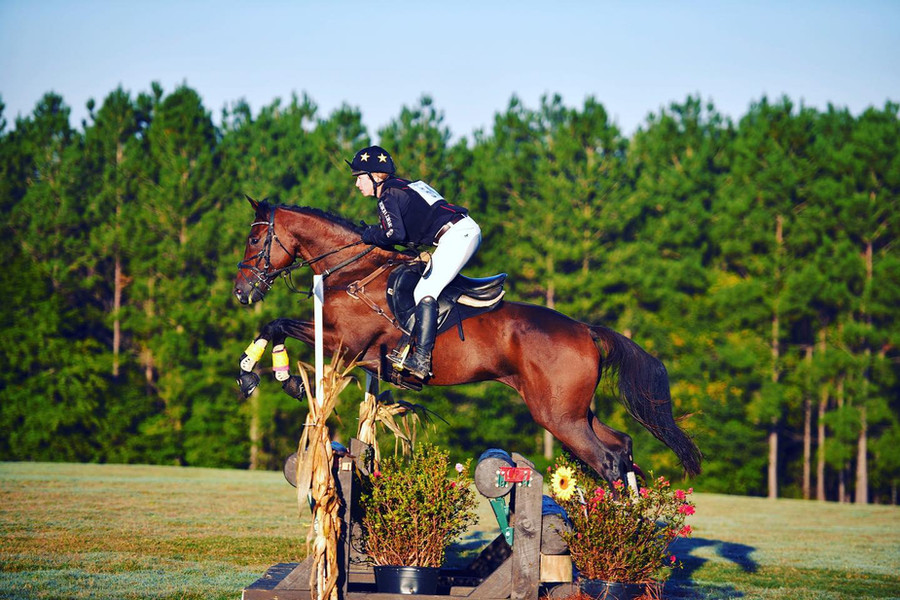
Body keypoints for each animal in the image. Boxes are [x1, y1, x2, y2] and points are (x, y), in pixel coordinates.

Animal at [232, 197, 701, 485]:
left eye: (254, 239)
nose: (241, 292)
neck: (354, 270)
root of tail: (585, 329)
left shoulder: (344, 343)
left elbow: (276, 324)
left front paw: (262, 376)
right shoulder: (356, 357)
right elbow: (277, 326)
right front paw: (275, 376)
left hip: (558, 417)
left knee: (605, 460)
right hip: (575, 411)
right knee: (621, 447)